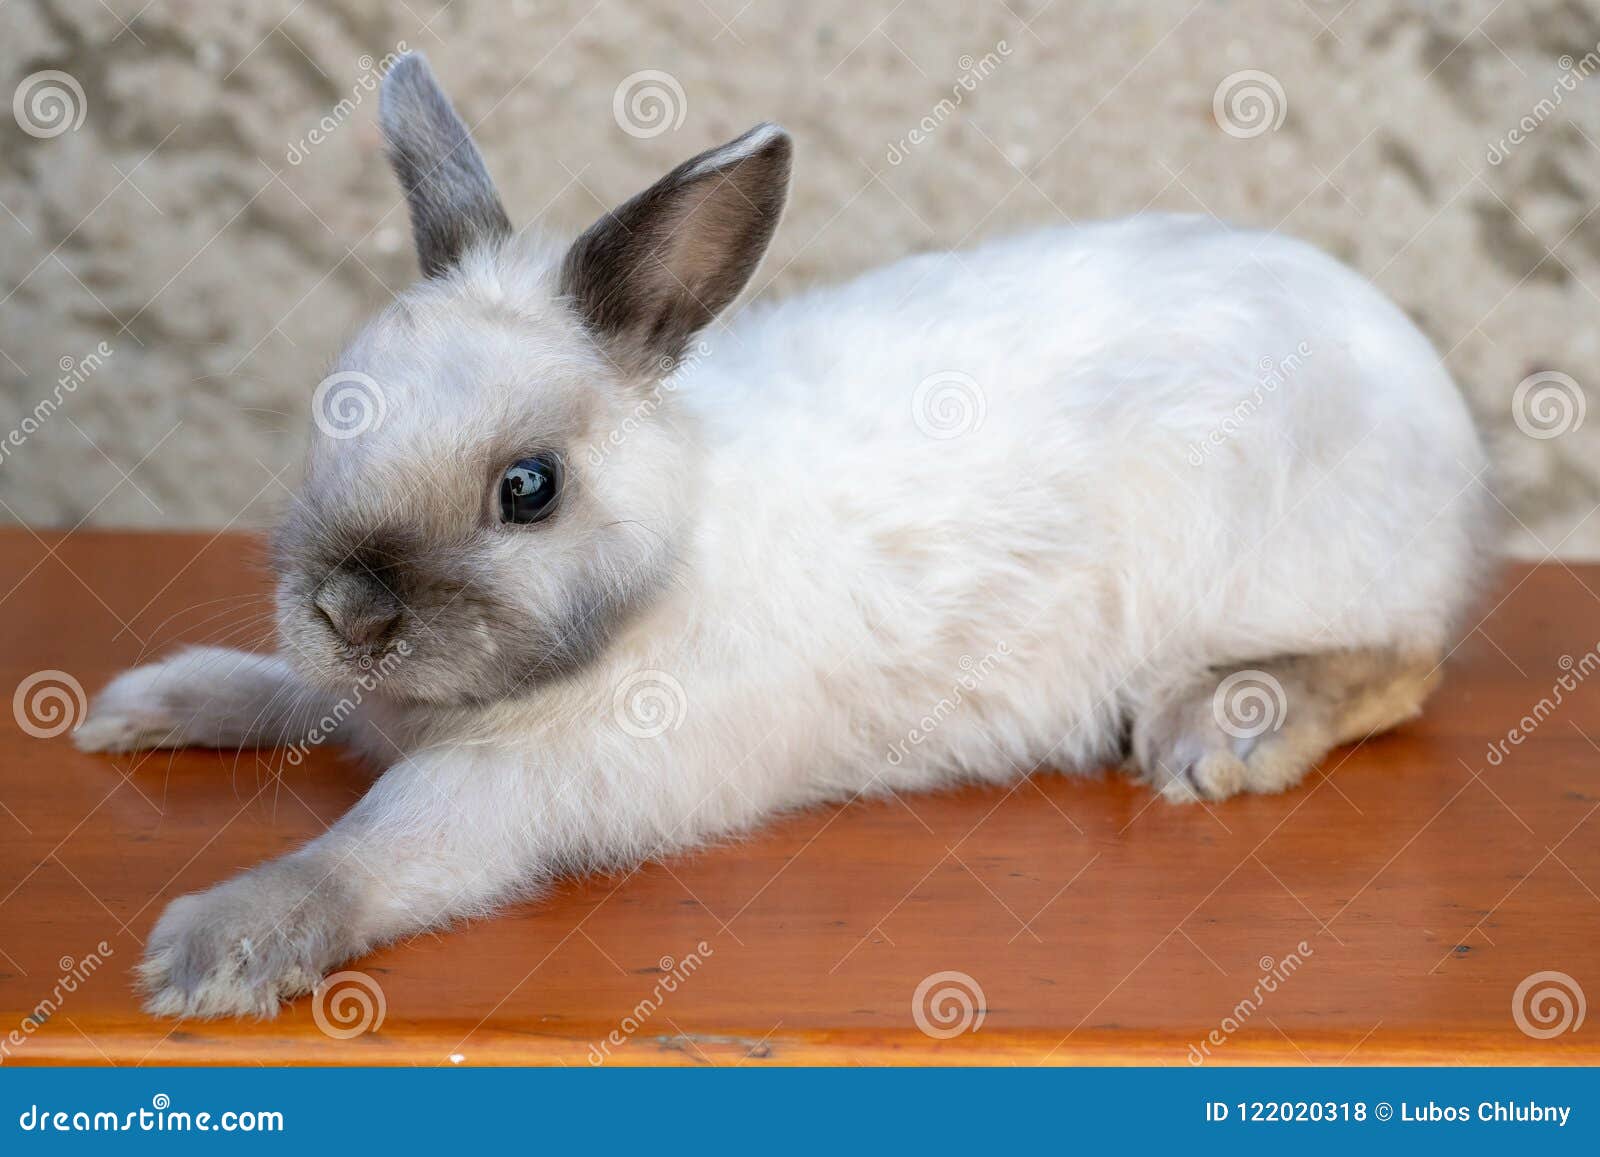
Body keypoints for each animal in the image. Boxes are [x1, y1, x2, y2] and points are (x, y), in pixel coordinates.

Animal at [72, 52, 1493, 1019]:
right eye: (333, 413)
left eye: (528, 487)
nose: (351, 613)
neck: (663, 561)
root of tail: (1435, 398)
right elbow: (286, 695)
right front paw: (147, 704)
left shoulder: (522, 788)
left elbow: (379, 846)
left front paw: (215, 946)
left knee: (1403, 664)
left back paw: (1222, 729)